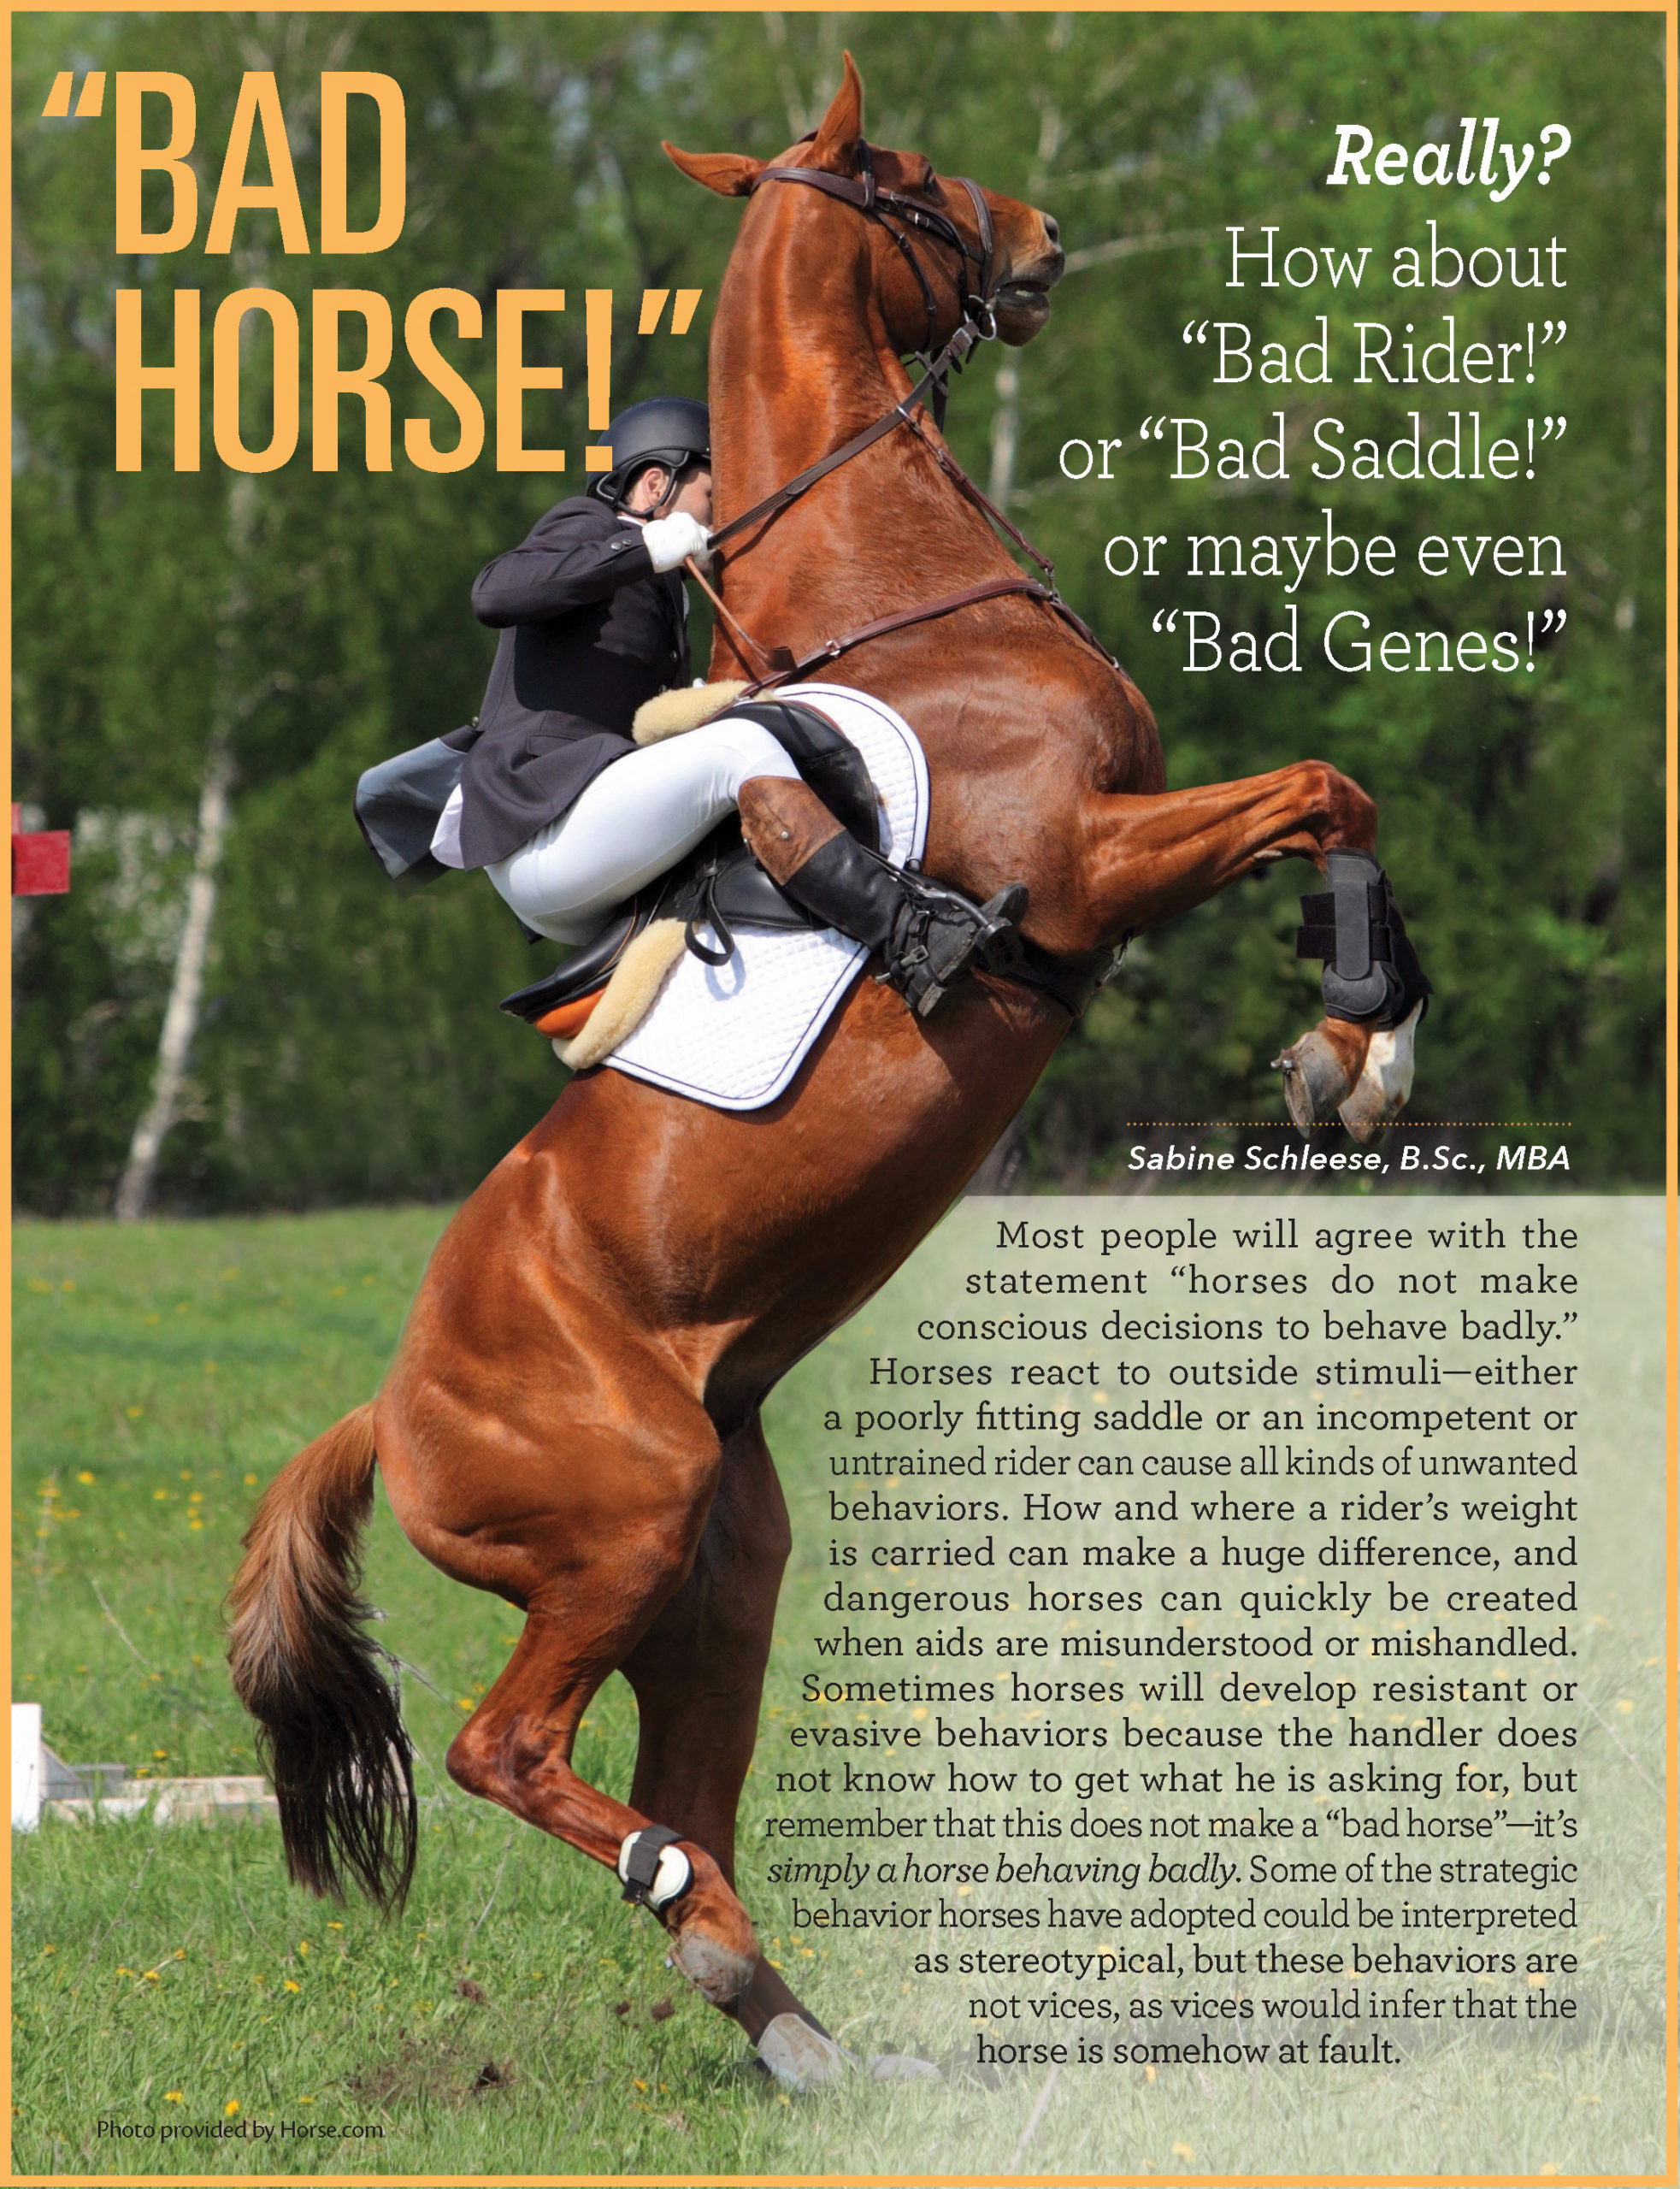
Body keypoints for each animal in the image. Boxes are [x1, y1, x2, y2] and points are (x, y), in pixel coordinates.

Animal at [228, 57, 1424, 2086]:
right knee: (512, 1747)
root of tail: (387, 1413)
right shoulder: (1086, 861)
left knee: (681, 1778)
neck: (902, 585)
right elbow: (1329, 787)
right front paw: (1355, 1051)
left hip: (719, 1564)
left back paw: (786, 2021)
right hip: (624, 1510)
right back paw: (687, 1909)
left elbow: (1333, 798)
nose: (1039, 242)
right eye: (914, 175)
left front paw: (1348, 1052)